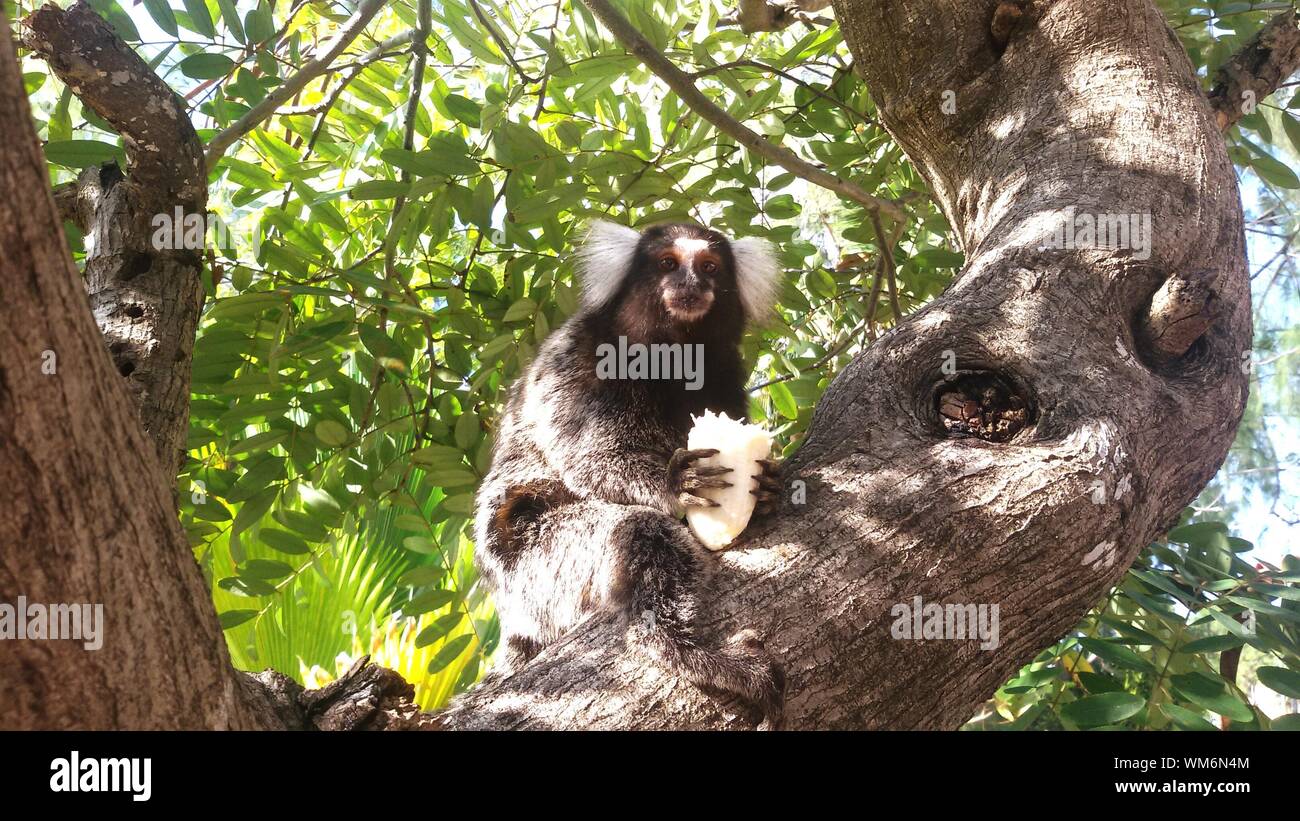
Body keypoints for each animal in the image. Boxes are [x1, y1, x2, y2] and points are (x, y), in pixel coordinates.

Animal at [472, 220, 787, 727]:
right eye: (667, 263)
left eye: (709, 267)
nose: (691, 284)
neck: (671, 356)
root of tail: (508, 613)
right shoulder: (579, 360)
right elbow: (595, 458)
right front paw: (676, 483)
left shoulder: (725, 375)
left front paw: (769, 484)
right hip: (534, 569)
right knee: (637, 532)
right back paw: (690, 653)